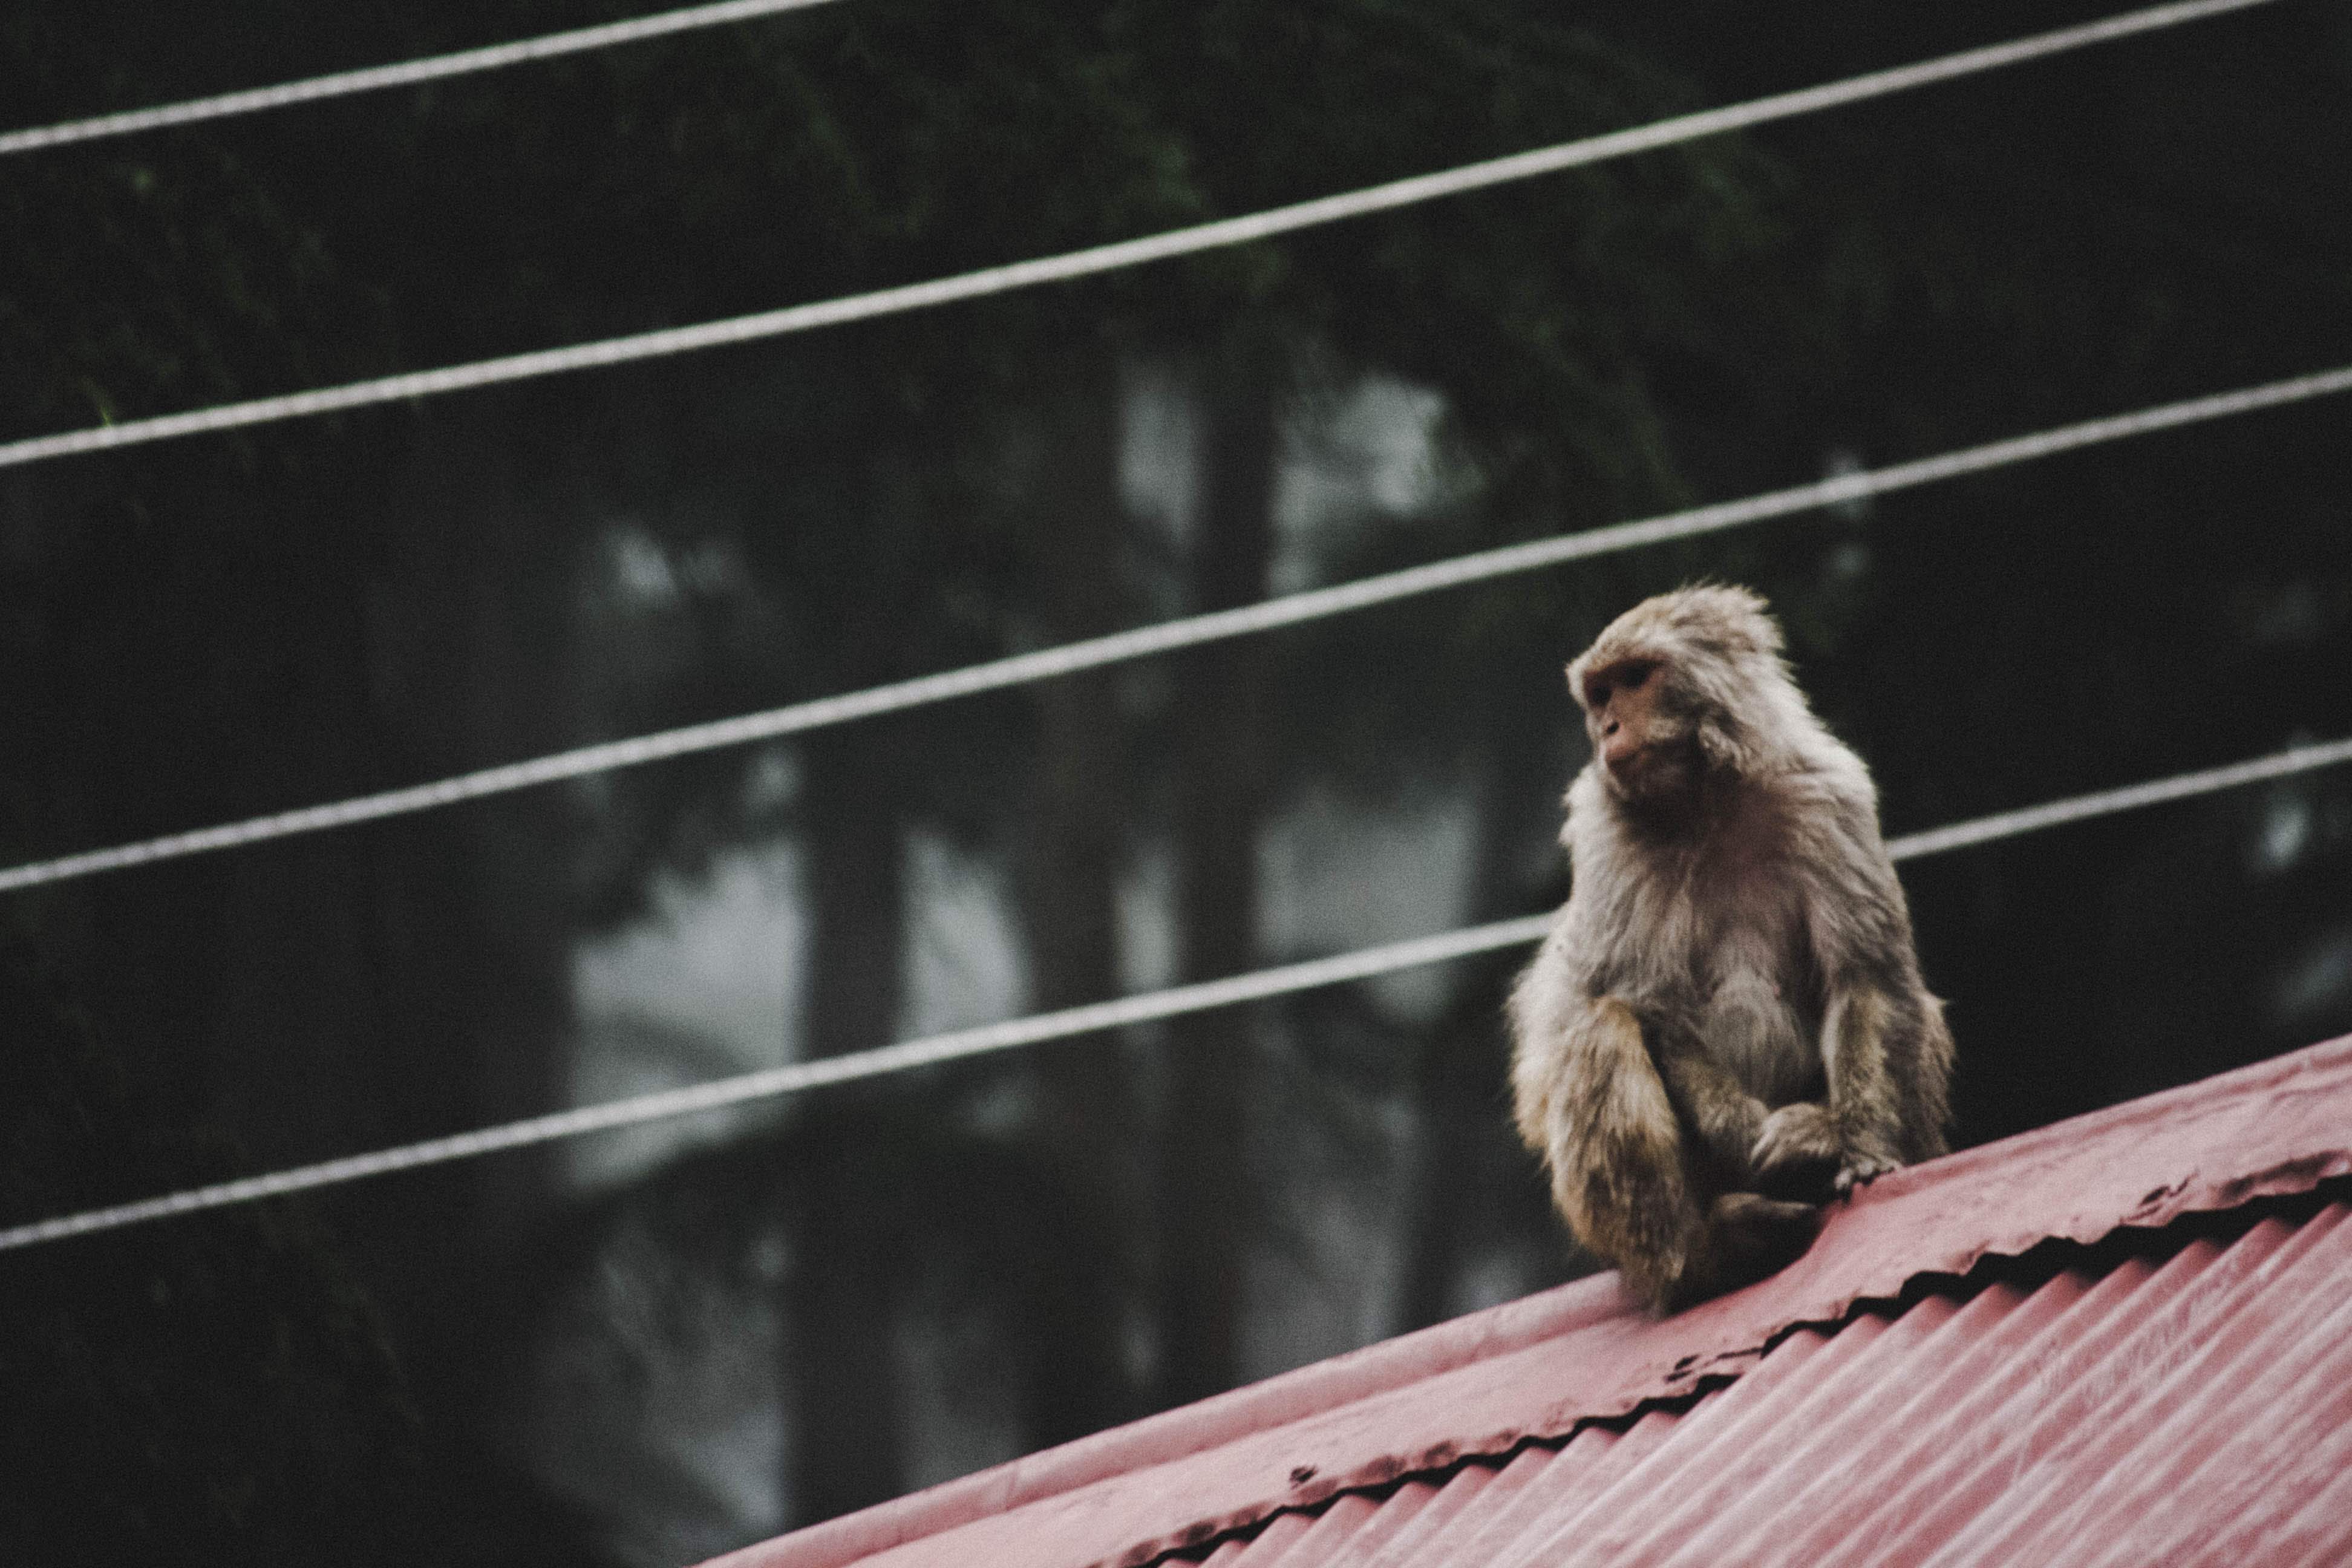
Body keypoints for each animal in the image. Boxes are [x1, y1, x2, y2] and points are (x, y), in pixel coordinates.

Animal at [1508, 585, 1952, 1312]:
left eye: (1635, 679)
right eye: (1599, 695)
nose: (1608, 729)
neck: (1709, 799)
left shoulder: (1828, 795)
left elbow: (1864, 978)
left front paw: (1853, 1146)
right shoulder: (1607, 832)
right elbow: (1649, 1004)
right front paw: (1755, 1137)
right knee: (1598, 1025)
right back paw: (1700, 1258)